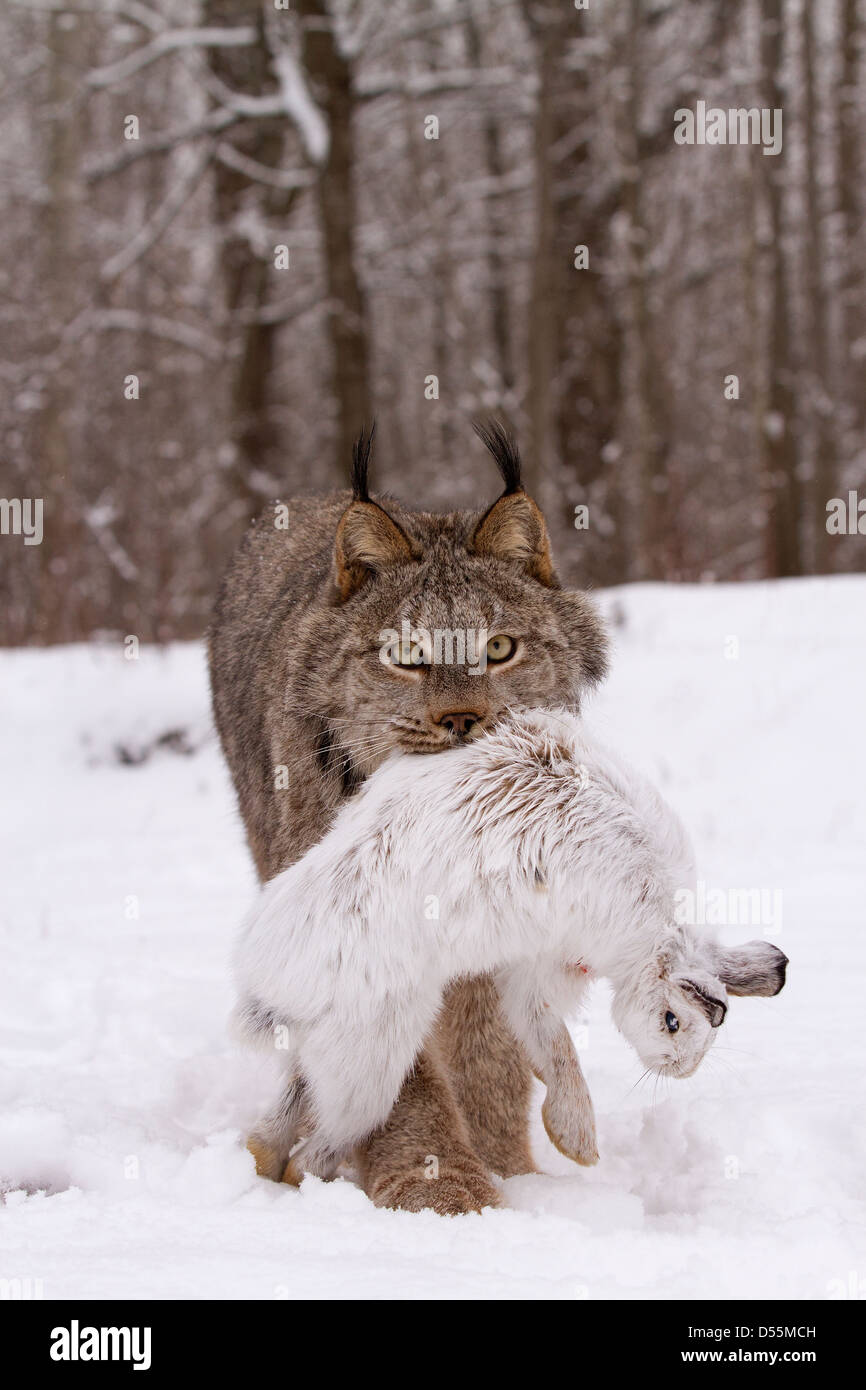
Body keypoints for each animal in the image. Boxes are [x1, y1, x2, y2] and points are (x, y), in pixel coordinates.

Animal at [232, 708, 787, 1181]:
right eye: (673, 1022)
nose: (680, 1071)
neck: (656, 935)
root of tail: (274, 992)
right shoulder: (543, 965)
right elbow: (554, 1044)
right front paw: (579, 1145)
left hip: (327, 1056)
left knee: (287, 1111)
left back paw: (259, 1161)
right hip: (369, 1066)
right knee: (315, 1151)